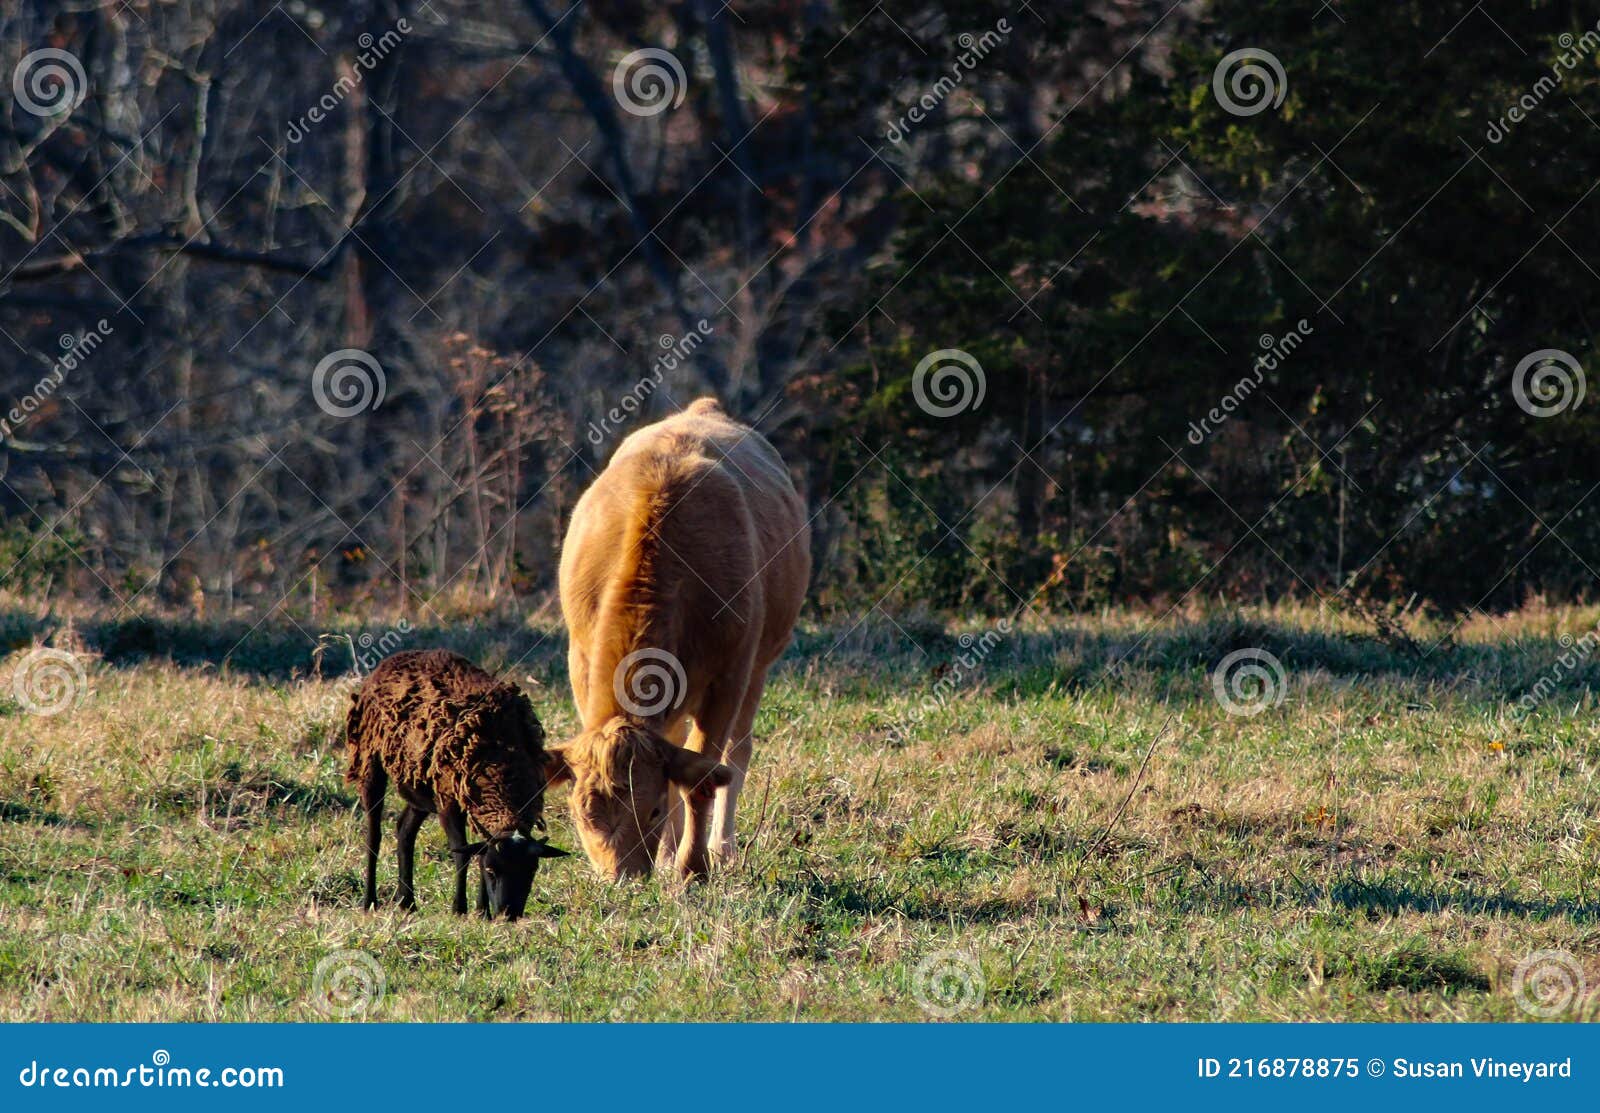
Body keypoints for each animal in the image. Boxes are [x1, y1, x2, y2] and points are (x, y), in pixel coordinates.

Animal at [549, 398, 810, 879]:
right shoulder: (580, 660)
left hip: (759, 667)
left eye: (649, 811)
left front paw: (694, 868)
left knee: (736, 754)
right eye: (582, 815)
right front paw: (675, 858)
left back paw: (720, 849)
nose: (622, 879)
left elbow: (704, 775)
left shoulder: (729, 677)